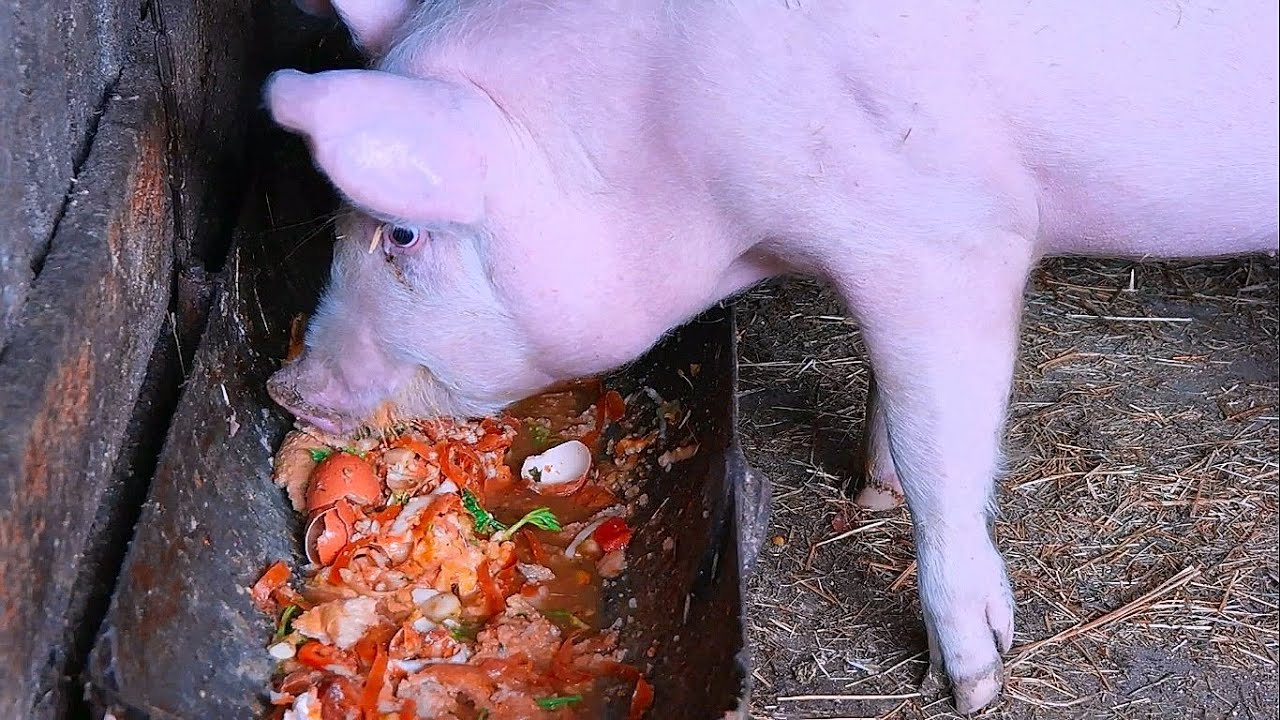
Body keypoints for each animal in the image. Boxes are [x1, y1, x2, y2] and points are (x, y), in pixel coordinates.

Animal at [264, 0, 1279, 713]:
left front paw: (974, 685)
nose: (285, 387)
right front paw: (872, 492)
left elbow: (942, 446)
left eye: (398, 233)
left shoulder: (949, 238)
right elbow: (888, 392)